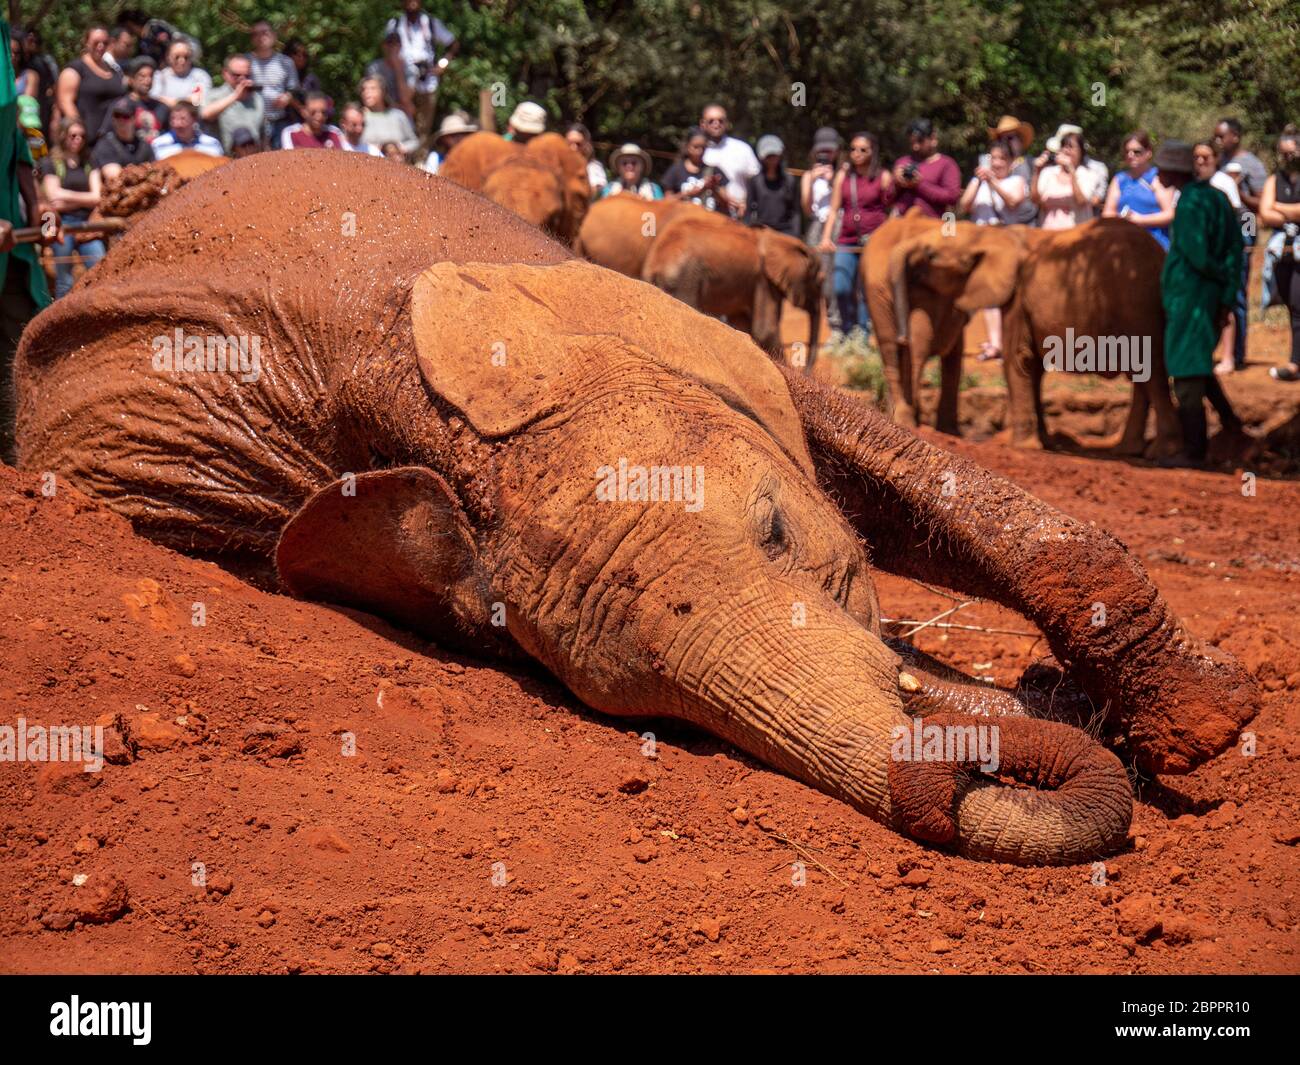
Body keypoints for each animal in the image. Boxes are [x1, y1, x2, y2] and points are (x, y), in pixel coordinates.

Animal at [641, 213, 823, 366]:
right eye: (819, 282)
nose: (805, 370)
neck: (783, 239)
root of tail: (656, 263)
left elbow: (744, 326)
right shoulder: (763, 279)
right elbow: (766, 330)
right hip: (687, 277)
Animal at [871, 210, 1181, 455]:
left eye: (931, 255)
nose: (901, 337)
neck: (992, 235)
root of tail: (1161, 255)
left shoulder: (1017, 297)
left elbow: (1018, 359)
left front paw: (1024, 447)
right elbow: (1034, 368)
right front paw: (1043, 443)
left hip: (1138, 302)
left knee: (1152, 371)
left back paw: (1162, 453)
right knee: (1142, 375)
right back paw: (1129, 450)